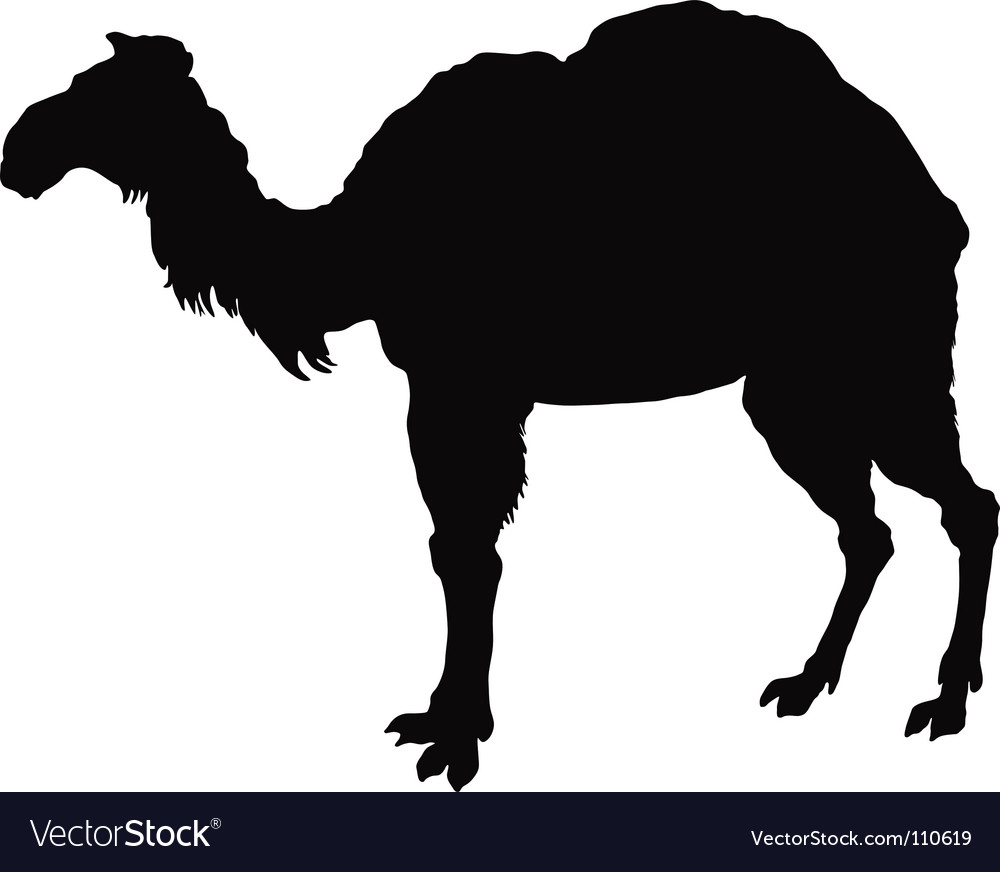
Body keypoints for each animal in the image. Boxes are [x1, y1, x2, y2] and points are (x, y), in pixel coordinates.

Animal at [2, 1, 996, 791]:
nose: (20, 150)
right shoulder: (453, 388)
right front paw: (440, 717)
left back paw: (946, 699)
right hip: (791, 386)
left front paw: (456, 739)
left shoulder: (464, 384)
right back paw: (806, 682)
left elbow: (468, 554)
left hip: (885, 348)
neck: (356, 249)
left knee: (965, 504)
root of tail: (937, 202)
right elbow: (455, 550)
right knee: (868, 527)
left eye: (104, 93)